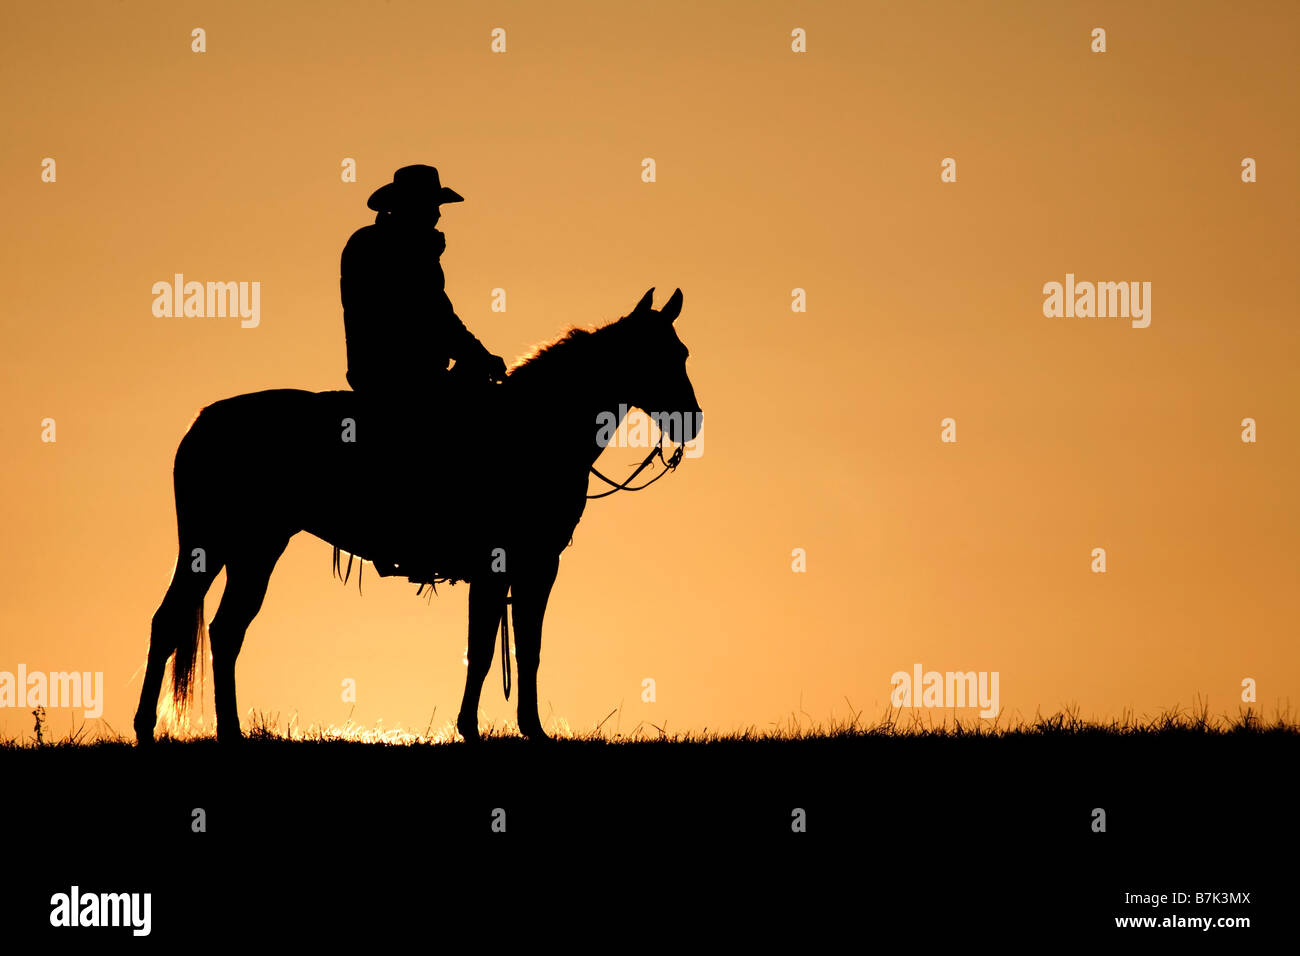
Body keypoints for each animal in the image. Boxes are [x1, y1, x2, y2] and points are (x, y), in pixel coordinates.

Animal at [133, 287, 700, 745]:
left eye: (683, 352)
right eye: (662, 355)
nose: (692, 420)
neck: (536, 430)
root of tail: (203, 422)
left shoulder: (528, 568)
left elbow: (519, 646)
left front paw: (523, 728)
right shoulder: (510, 566)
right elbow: (491, 646)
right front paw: (479, 728)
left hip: (253, 548)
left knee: (220, 630)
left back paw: (225, 732)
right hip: (219, 544)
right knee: (179, 623)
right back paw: (149, 728)